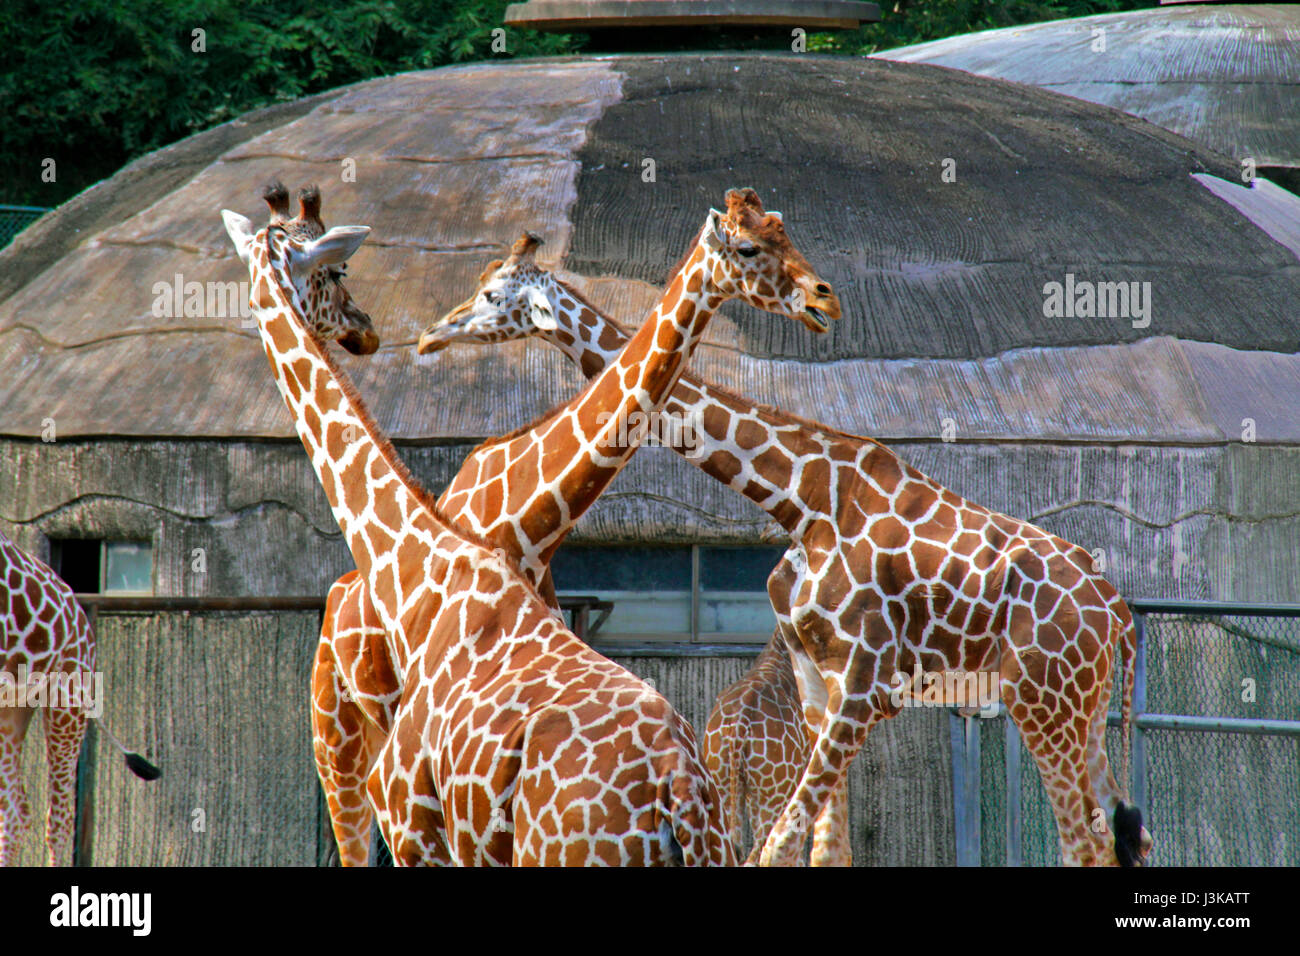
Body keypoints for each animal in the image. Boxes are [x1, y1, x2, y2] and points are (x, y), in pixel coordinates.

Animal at [315, 188, 840, 864]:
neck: (527, 522)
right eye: (748, 246)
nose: (823, 298)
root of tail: (338, 595)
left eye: (779, 233)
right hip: (339, 731)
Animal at [417, 257, 1156, 867]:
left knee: (1084, 843)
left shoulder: (866, 684)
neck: (805, 498)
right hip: (1082, 711)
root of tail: (1117, 611)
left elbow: (779, 846)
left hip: (1045, 701)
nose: (430, 335)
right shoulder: (818, 680)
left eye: (490, 292)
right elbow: (823, 849)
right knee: (1123, 838)